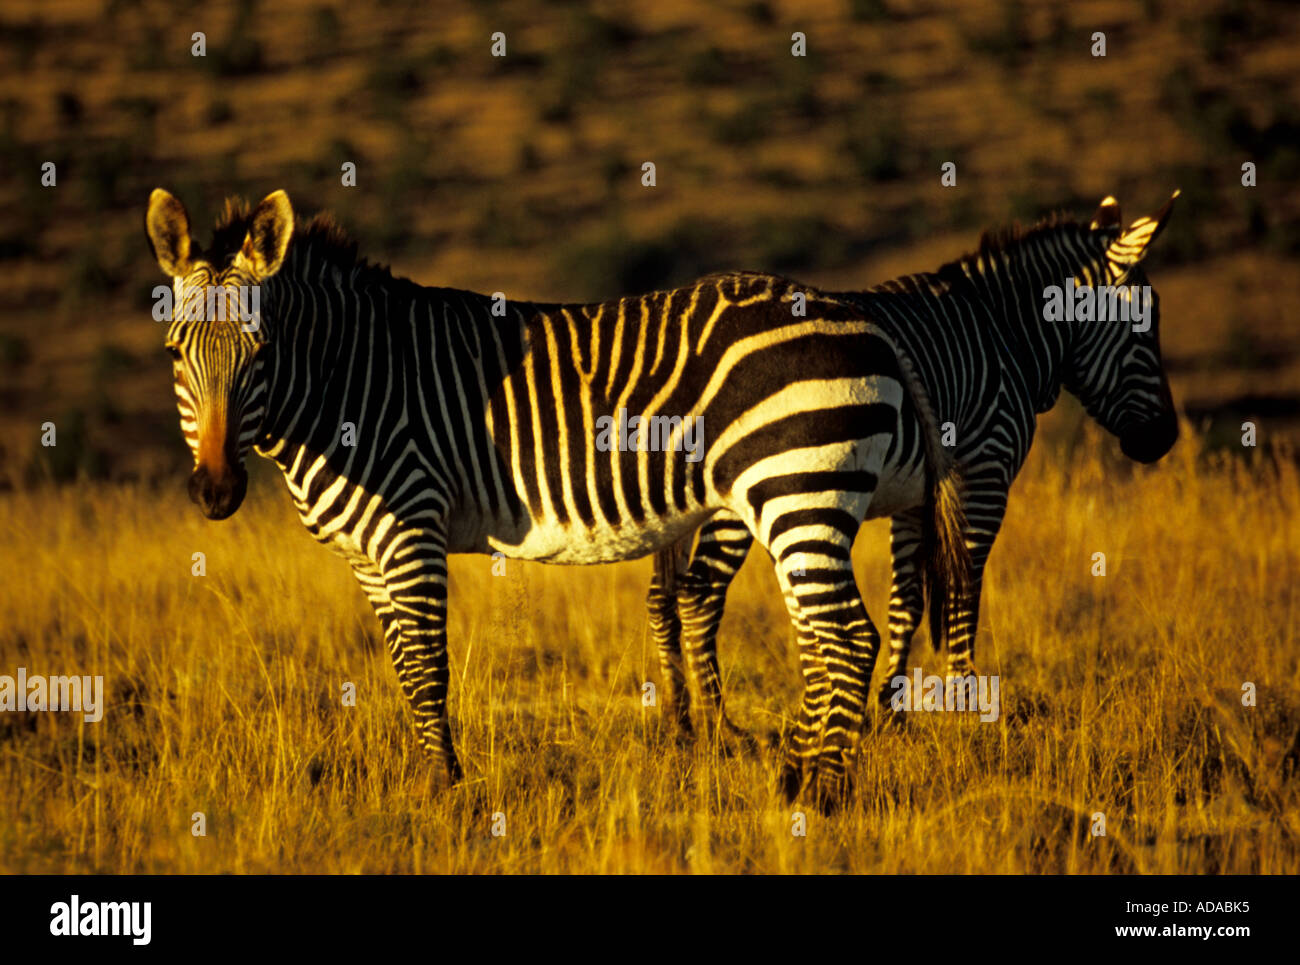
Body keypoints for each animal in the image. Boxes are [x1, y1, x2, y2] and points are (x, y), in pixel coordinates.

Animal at [144, 187, 971, 809]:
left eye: (260, 351)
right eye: (175, 351)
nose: (215, 491)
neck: (346, 385)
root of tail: (864, 317)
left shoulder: (410, 526)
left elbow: (428, 666)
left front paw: (448, 792)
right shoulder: (366, 554)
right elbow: (404, 668)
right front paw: (430, 779)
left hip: (796, 486)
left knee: (847, 635)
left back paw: (821, 795)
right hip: (805, 500)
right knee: (822, 635)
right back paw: (798, 774)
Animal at [645, 194, 1181, 755]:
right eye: (1145, 326)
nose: (1165, 440)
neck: (1005, 333)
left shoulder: (916, 498)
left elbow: (908, 599)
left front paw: (893, 712)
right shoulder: (985, 473)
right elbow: (963, 585)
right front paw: (968, 704)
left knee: (663, 597)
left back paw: (679, 723)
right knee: (699, 593)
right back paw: (721, 729)